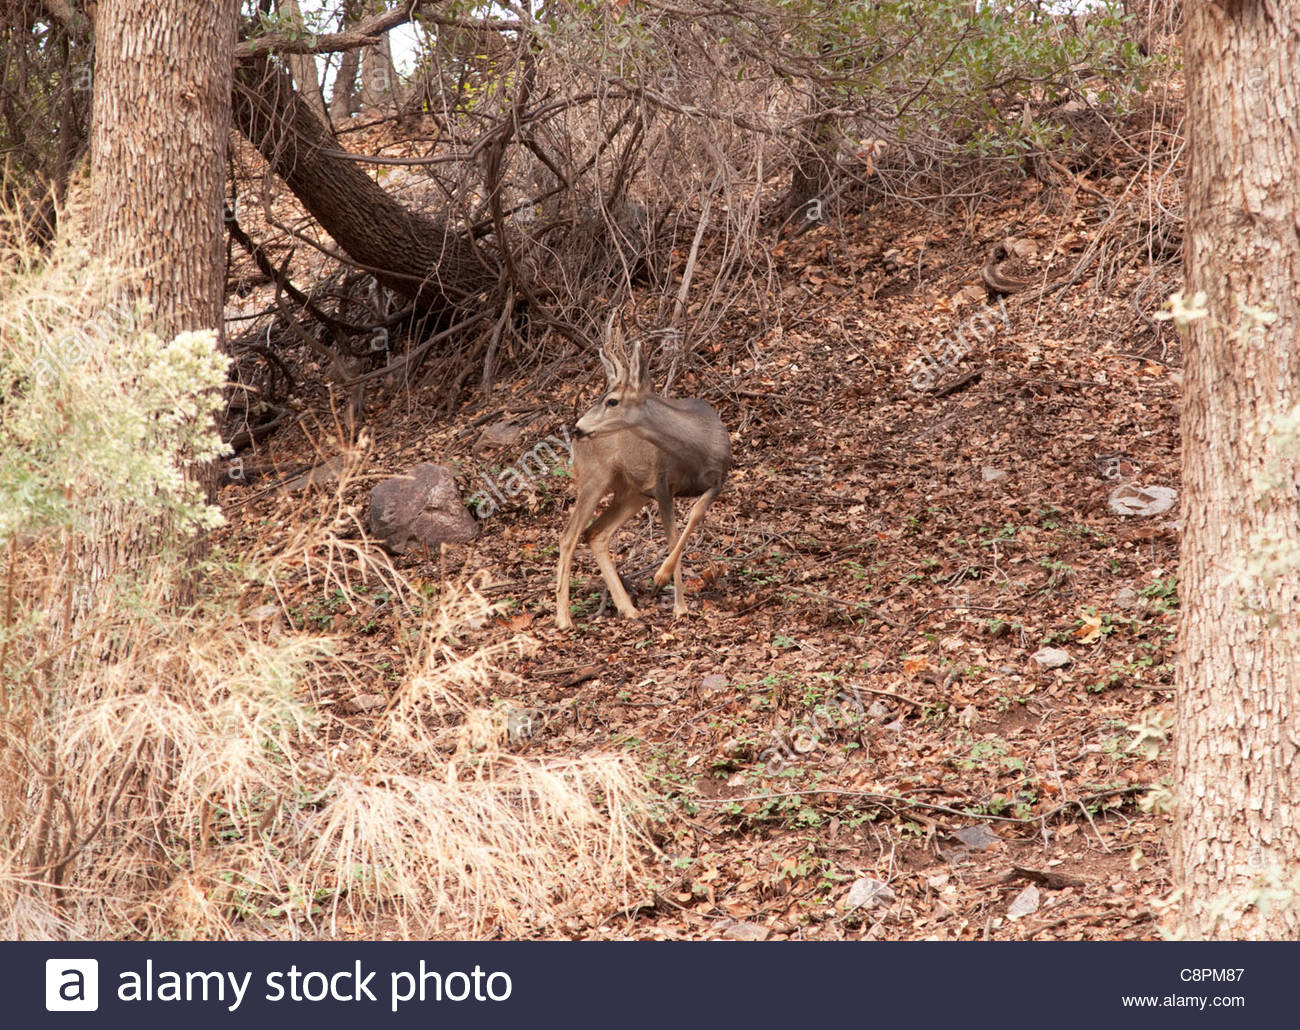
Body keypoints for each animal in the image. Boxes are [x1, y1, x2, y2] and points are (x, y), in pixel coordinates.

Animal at [555, 330, 732, 630]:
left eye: (612, 401)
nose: (578, 428)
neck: (698, 448)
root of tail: (574, 446)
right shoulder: (662, 484)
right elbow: (673, 538)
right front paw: (675, 599)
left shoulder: (718, 479)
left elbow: (695, 515)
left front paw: (664, 582)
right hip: (594, 477)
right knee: (569, 535)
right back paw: (564, 618)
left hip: (632, 492)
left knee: (596, 533)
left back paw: (629, 609)